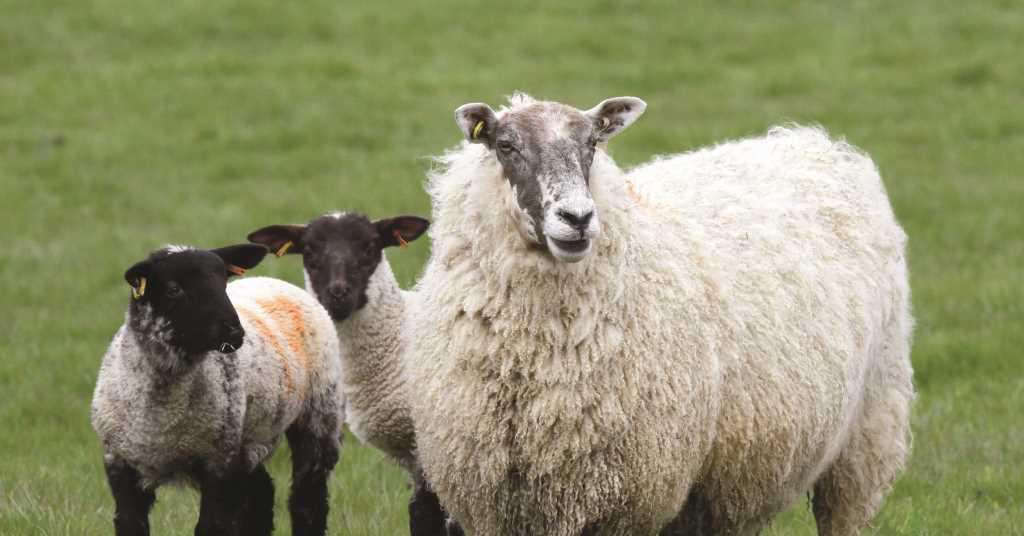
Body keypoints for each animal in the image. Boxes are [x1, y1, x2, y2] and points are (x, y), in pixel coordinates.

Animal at [91, 243, 344, 536]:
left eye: (224, 281)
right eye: (174, 288)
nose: (234, 332)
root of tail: (278, 282)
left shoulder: (217, 465)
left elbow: (212, 526)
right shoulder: (120, 464)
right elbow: (130, 523)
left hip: (320, 415)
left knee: (308, 500)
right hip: (246, 439)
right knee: (261, 493)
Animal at [248, 212, 461, 536]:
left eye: (370, 246)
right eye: (309, 251)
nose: (337, 293)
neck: (399, 339)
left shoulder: (434, 446)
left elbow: (427, 514)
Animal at [404, 93, 914, 536]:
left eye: (592, 144)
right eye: (506, 146)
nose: (578, 218)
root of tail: (816, 143)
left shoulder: (625, 499)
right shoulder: (491, 502)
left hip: (869, 425)